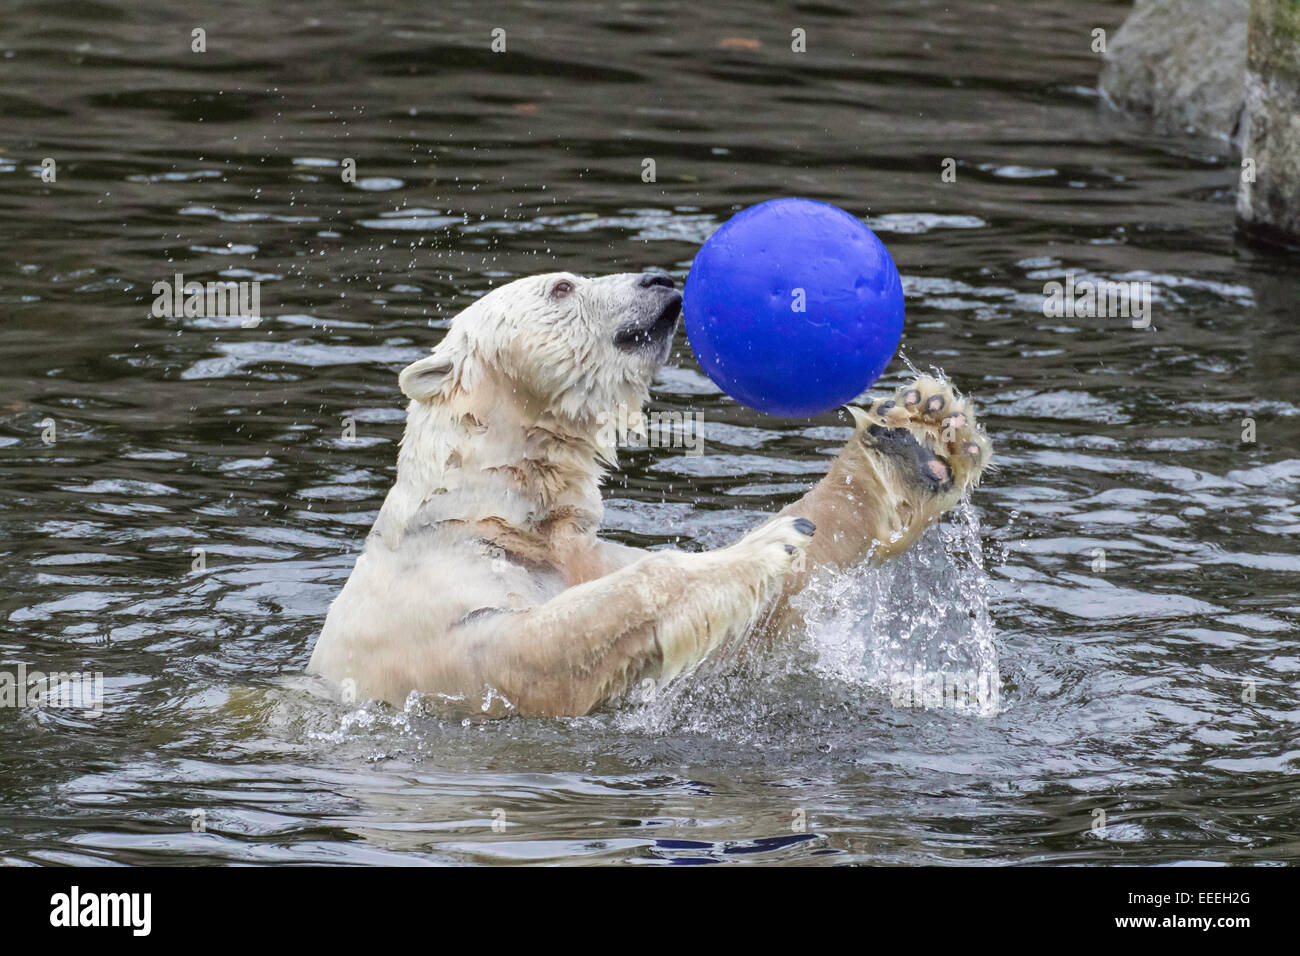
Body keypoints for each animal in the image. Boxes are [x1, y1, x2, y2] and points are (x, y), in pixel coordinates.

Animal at [306, 271, 991, 717]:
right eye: (562, 286)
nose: (660, 280)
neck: (490, 514)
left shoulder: (580, 551)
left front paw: (919, 435)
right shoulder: (437, 632)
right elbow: (539, 649)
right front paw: (765, 545)